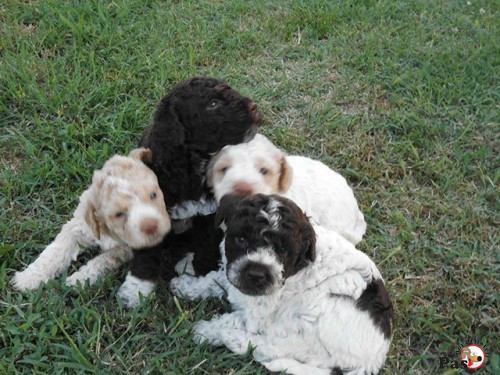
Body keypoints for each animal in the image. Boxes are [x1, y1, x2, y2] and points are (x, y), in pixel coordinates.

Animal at [10, 148, 171, 292]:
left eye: (153, 195)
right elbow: (55, 251)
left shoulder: (128, 248)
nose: (152, 226)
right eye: (119, 214)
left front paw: (78, 280)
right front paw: (28, 278)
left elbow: (104, 260)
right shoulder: (78, 227)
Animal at [117, 76, 264, 308]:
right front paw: (135, 291)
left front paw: (198, 273)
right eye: (212, 104)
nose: (253, 107)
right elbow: (146, 255)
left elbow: (205, 246)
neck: (190, 162)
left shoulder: (209, 214)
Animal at [174, 195, 392, 374]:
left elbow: (236, 319)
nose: (255, 274)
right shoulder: (233, 272)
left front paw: (207, 330)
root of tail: (372, 362)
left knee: (270, 346)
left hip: (308, 323)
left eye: (282, 251)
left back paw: (228, 337)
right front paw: (184, 286)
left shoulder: (259, 314)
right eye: (241, 239)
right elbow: (213, 280)